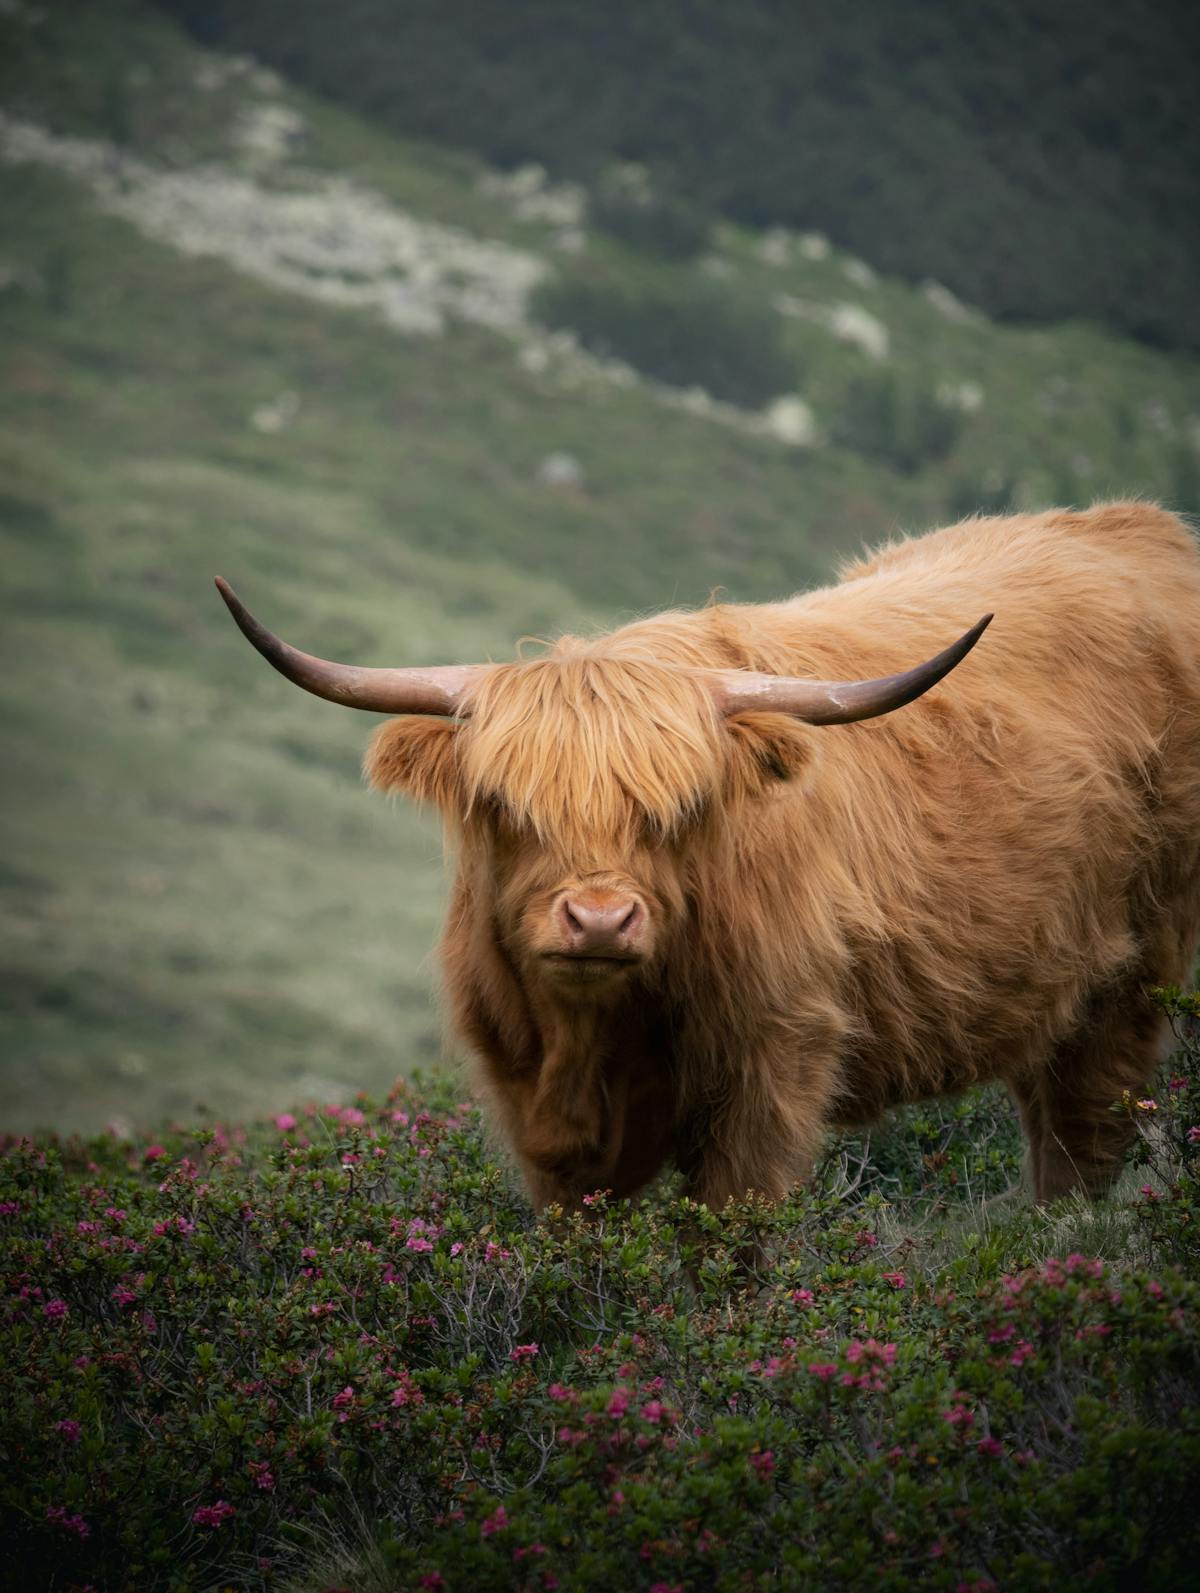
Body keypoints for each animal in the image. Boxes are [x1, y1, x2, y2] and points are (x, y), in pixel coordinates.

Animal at [217, 502, 1200, 1210]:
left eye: (679, 809)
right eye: (505, 805)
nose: (599, 920)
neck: (596, 1036)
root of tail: (1139, 525)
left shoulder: (773, 1072)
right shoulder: (533, 1108)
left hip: (1135, 973)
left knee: (1085, 1139)